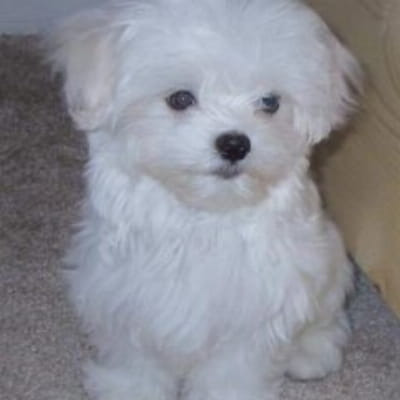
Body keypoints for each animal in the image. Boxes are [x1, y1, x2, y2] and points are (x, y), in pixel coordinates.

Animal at [49, 0, 361, 399]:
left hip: (330, 266)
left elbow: (230, 373)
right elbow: (135, 359)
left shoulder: (252, 315)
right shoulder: (126, 297)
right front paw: (130, 389)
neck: (201, 216)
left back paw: (310, 354)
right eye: (180, 99)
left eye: (269, 103)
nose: (235, 144)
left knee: (327, 320)